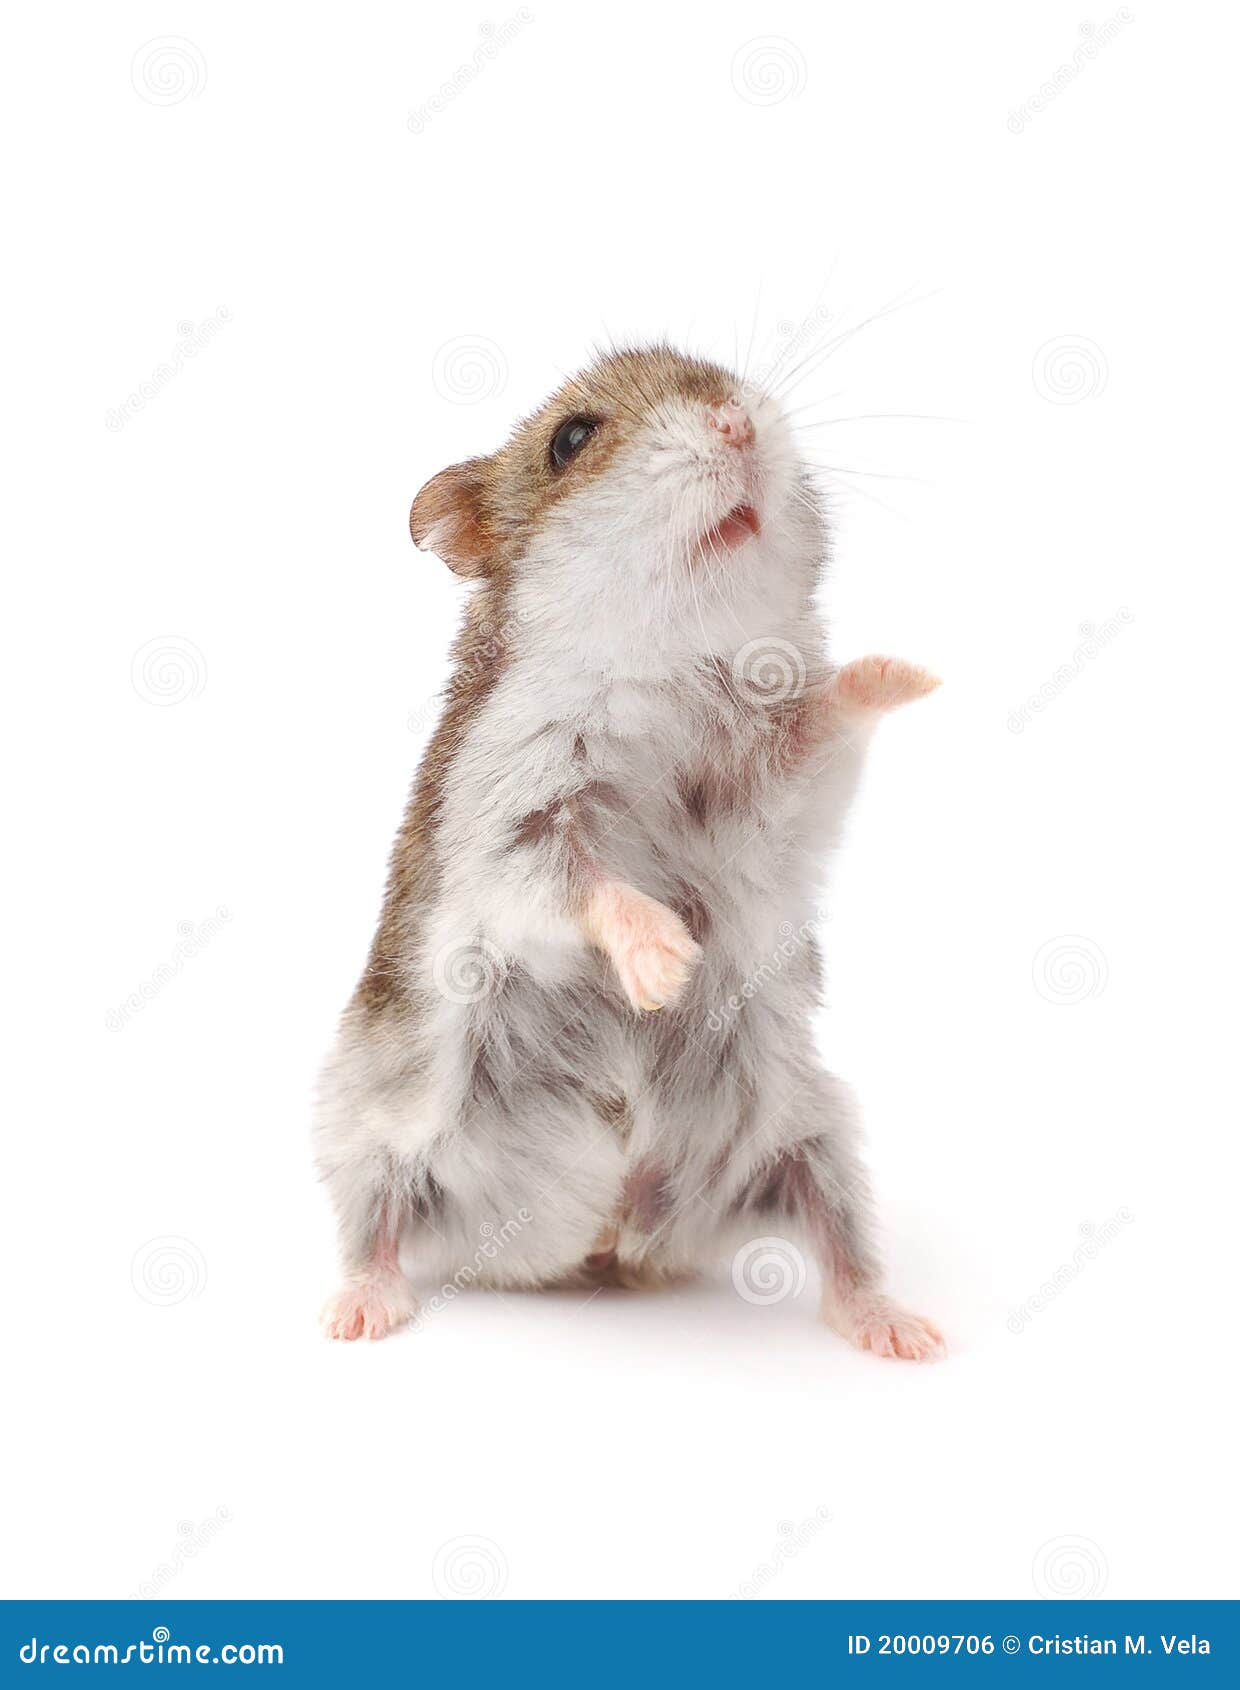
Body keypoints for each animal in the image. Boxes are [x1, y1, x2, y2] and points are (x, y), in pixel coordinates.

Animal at [313, 343, 945, 1359]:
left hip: (814, 1138)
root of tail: (595, 1241)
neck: (673, 661)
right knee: (374, 1224)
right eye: (572, 439)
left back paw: (902, 1332)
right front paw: (667, 967)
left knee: (842, 1251)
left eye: (718, 375)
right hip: (367, 1133)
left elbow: (821, 732)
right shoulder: (514, 813)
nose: (737, 421)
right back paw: (358, 1314)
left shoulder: (773, 810)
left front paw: (909, 671)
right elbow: (584, 886)